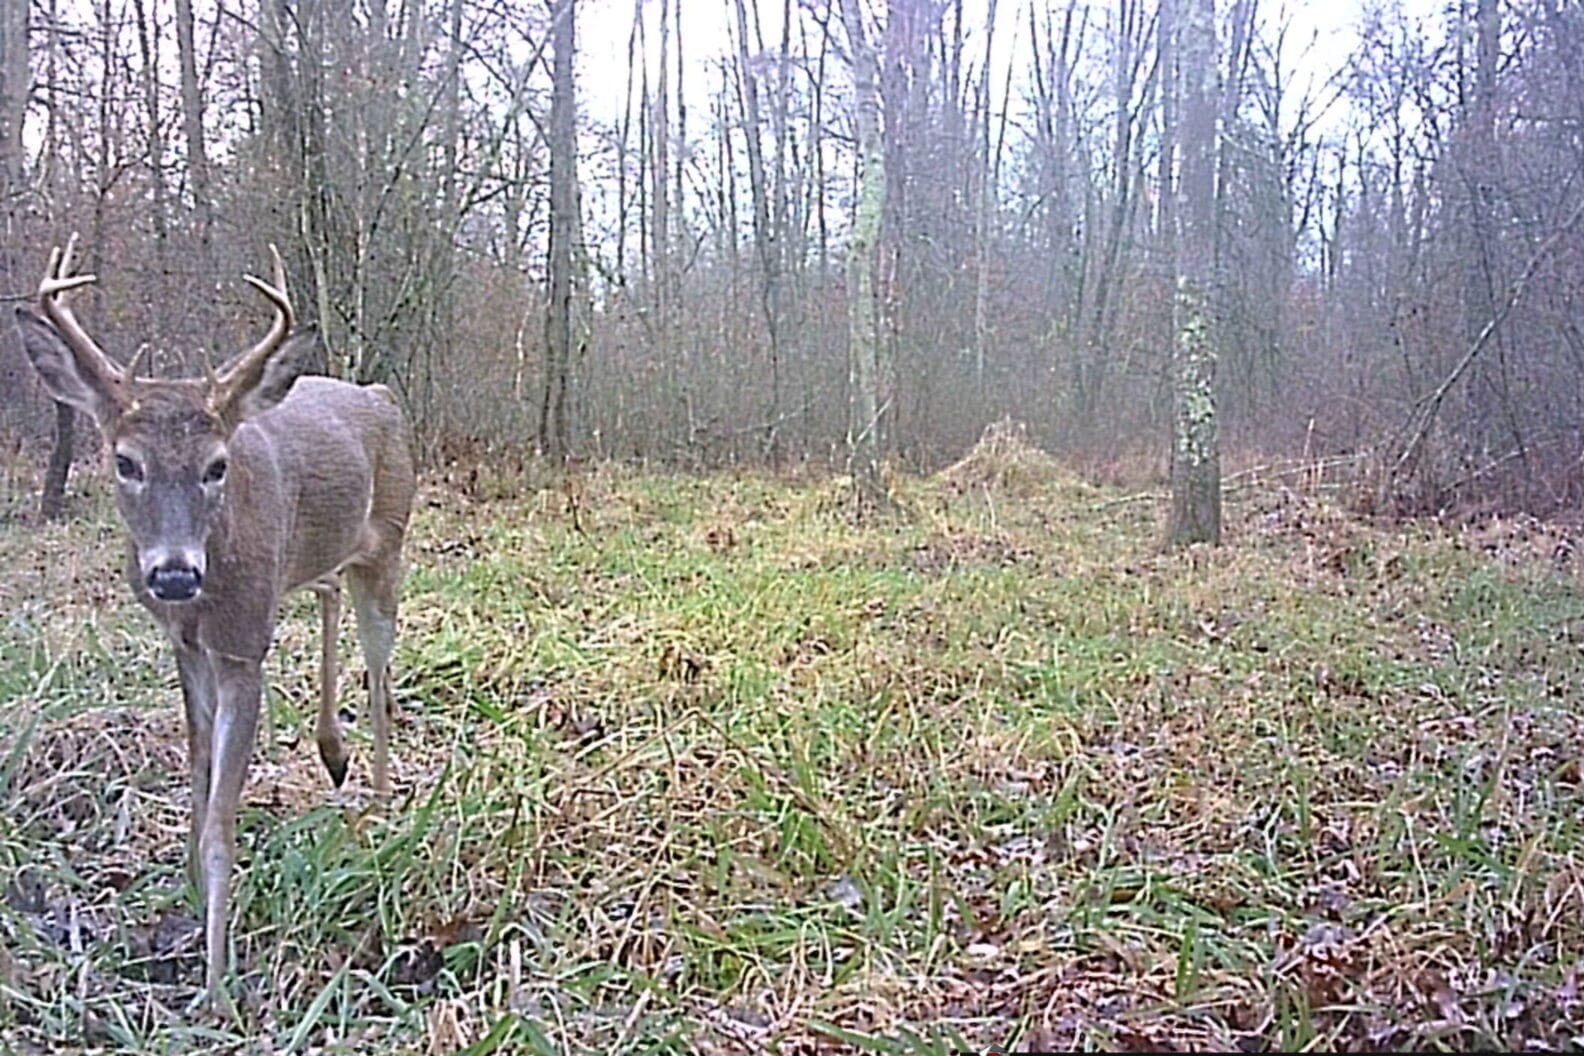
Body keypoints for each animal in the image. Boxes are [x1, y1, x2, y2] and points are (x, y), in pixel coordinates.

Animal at [10, 235, 416, 1017]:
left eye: (217, 466)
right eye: (125, 461)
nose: (172, 574)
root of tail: (379, 394)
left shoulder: (241, 651)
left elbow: (223, 820)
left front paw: (217, 983)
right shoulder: (187, 647)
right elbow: (196, 785)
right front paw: (190, 898)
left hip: (388, 545)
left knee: (381, 668)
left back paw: (380, 803)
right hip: (312, 561)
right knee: (323, 589)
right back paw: (332, 750)